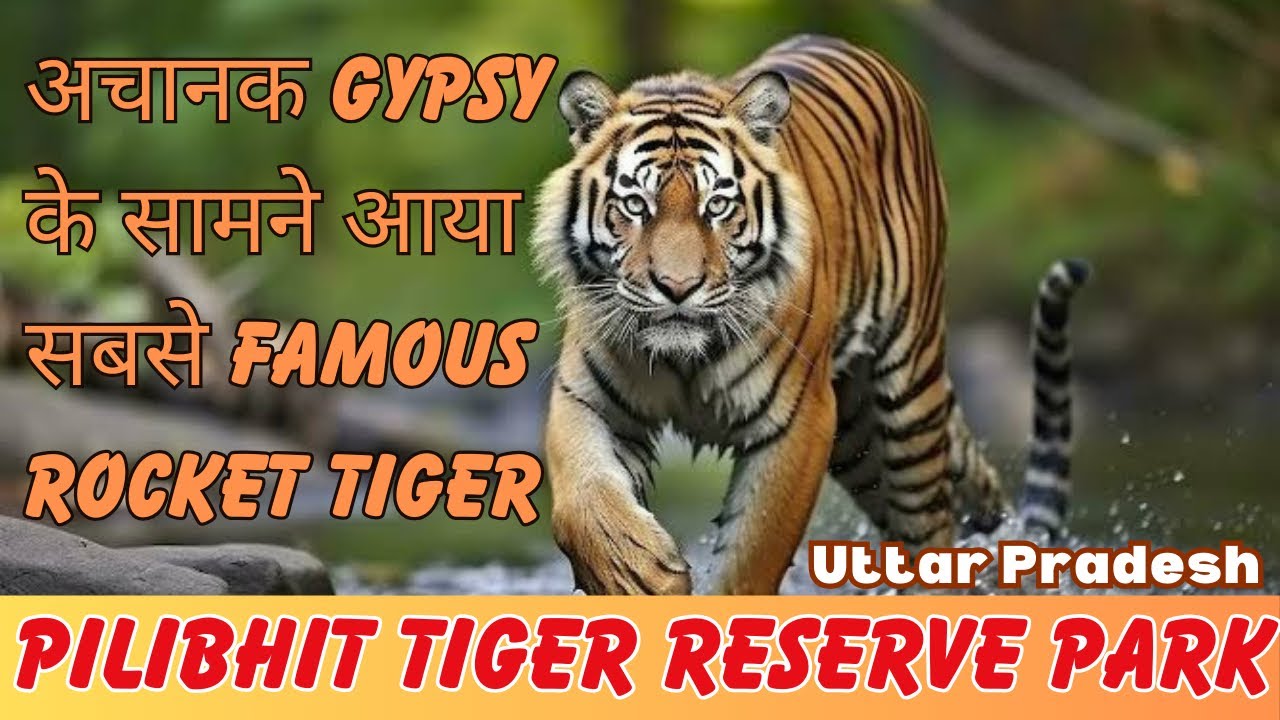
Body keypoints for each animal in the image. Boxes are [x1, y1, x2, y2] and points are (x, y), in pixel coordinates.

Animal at [531, 34, 1088, 595]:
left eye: (717, 206)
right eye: (634, 204)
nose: (677, 288)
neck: (683, 361)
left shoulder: (798, 420)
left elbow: (753, 556)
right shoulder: (585, 396)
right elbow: (581, 495)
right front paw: (632, 573)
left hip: (908, 392)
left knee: (930, 528)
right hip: (859, 436)